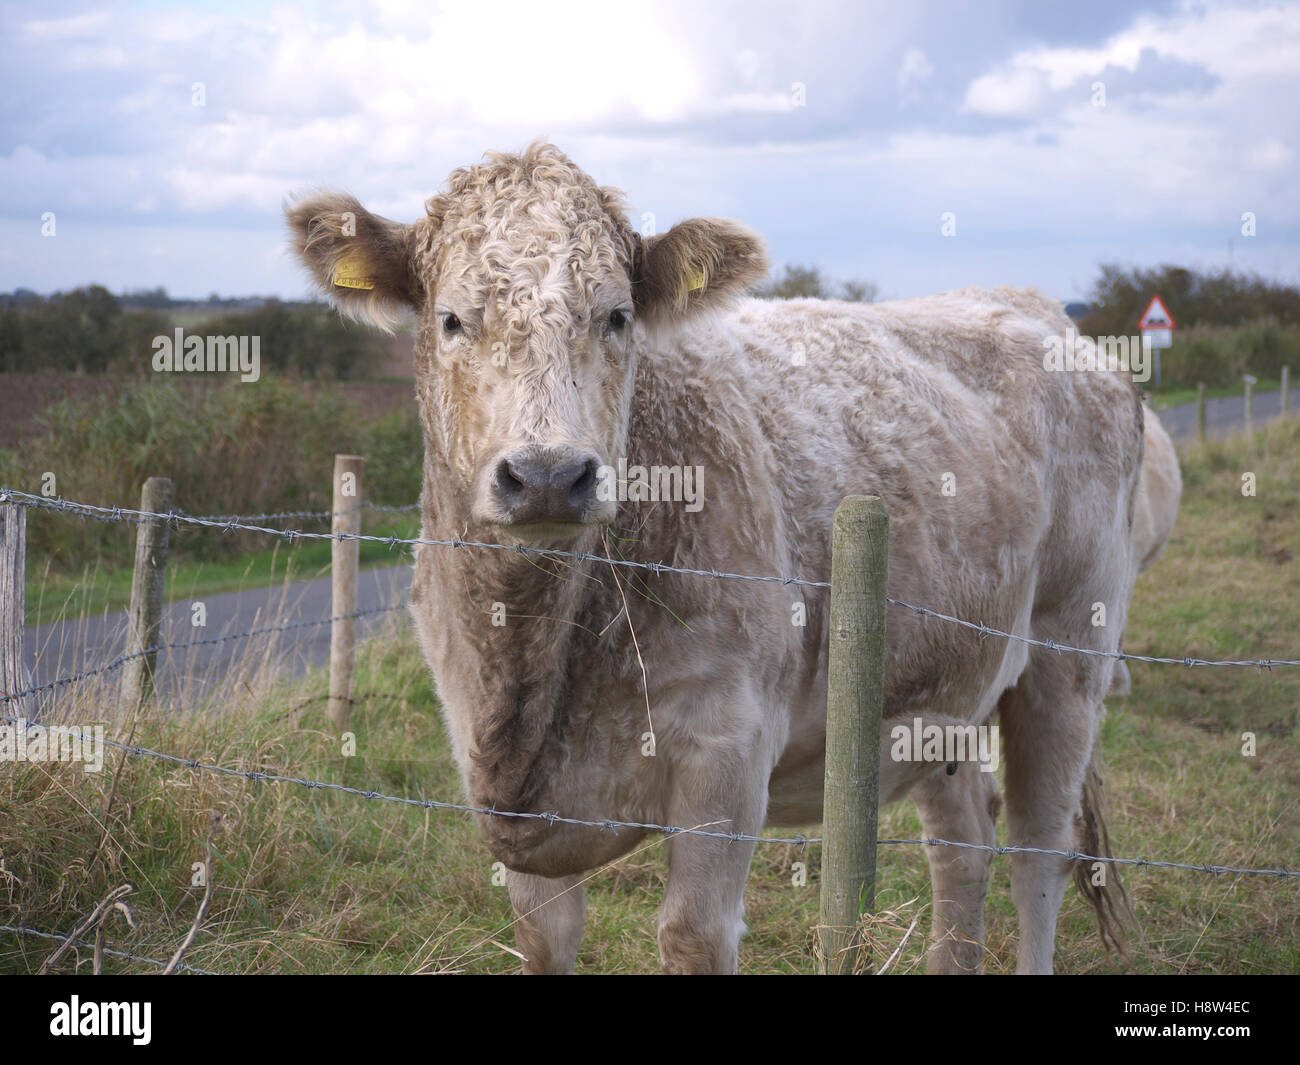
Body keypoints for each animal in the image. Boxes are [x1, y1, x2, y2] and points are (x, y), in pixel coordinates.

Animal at [287, 142, 1143, 974]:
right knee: (963, 837)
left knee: (1040, 851)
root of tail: (1029, 305)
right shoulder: (487, 764)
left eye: (617, 315)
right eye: (453, 319)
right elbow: (543, 934)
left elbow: (693, 935)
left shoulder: (725, 753)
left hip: (1069, 656)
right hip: (944, 687)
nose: (548, 475)